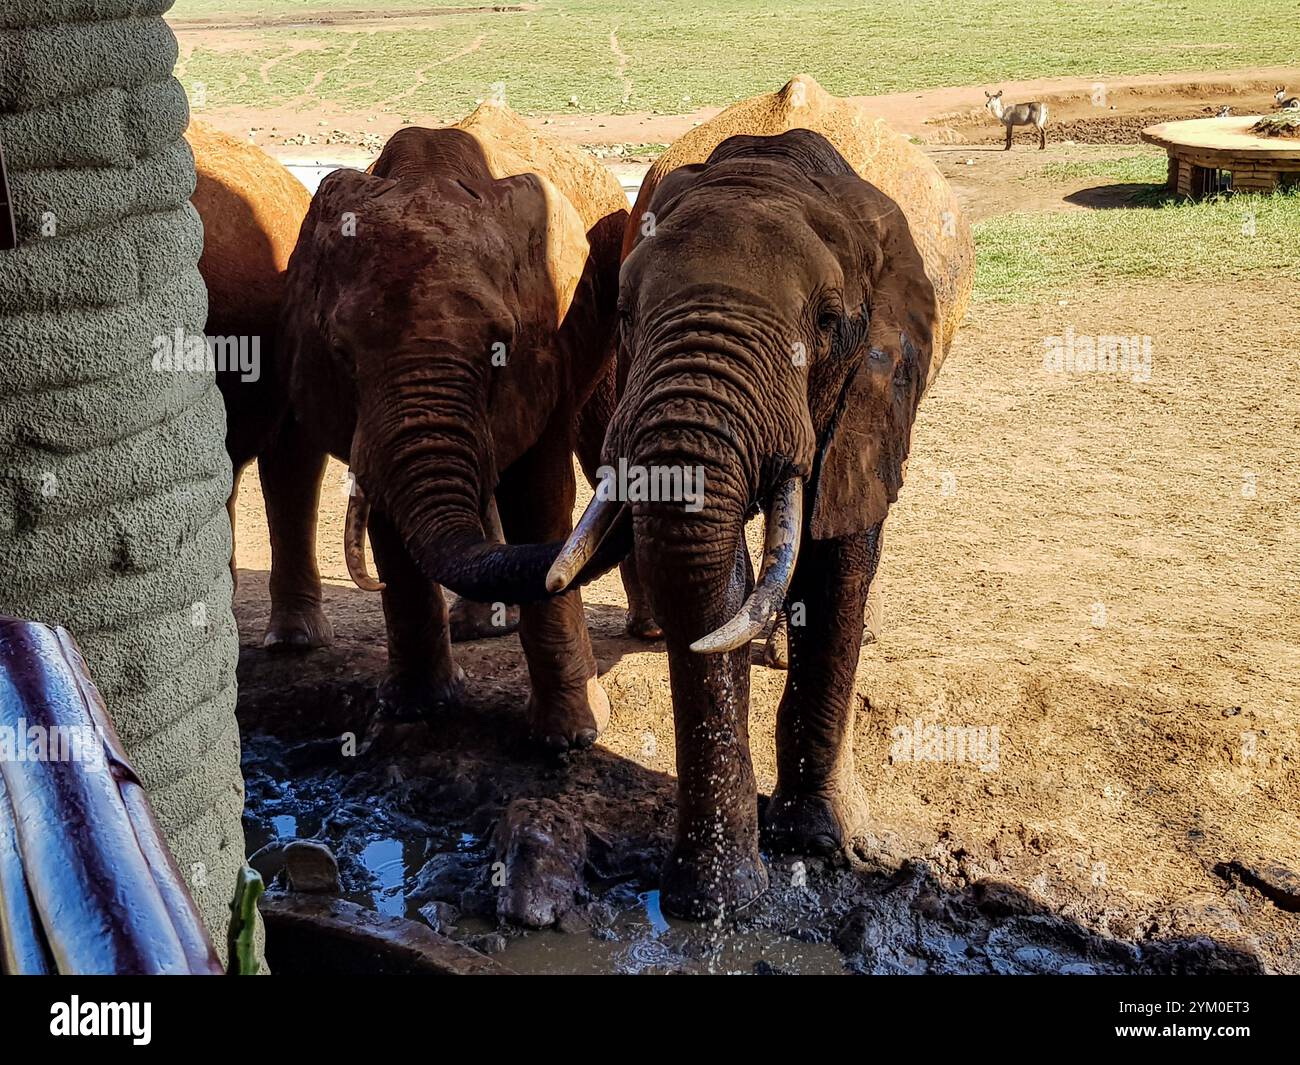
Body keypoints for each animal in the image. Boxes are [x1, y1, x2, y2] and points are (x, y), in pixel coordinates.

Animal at [277, 104, 631, 749]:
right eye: (341, 352)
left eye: (501, 346)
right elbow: (391, 518)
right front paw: (415, 710)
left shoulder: (550, 345)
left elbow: (539, 500)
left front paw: (569, 739)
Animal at [547, 77, 973, 918]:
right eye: (623, 312)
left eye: (830, 321)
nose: (708, 906)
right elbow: (722, 581)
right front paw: (716, 901)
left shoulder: (875, 381)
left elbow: (838, 559)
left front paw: (813, 844)